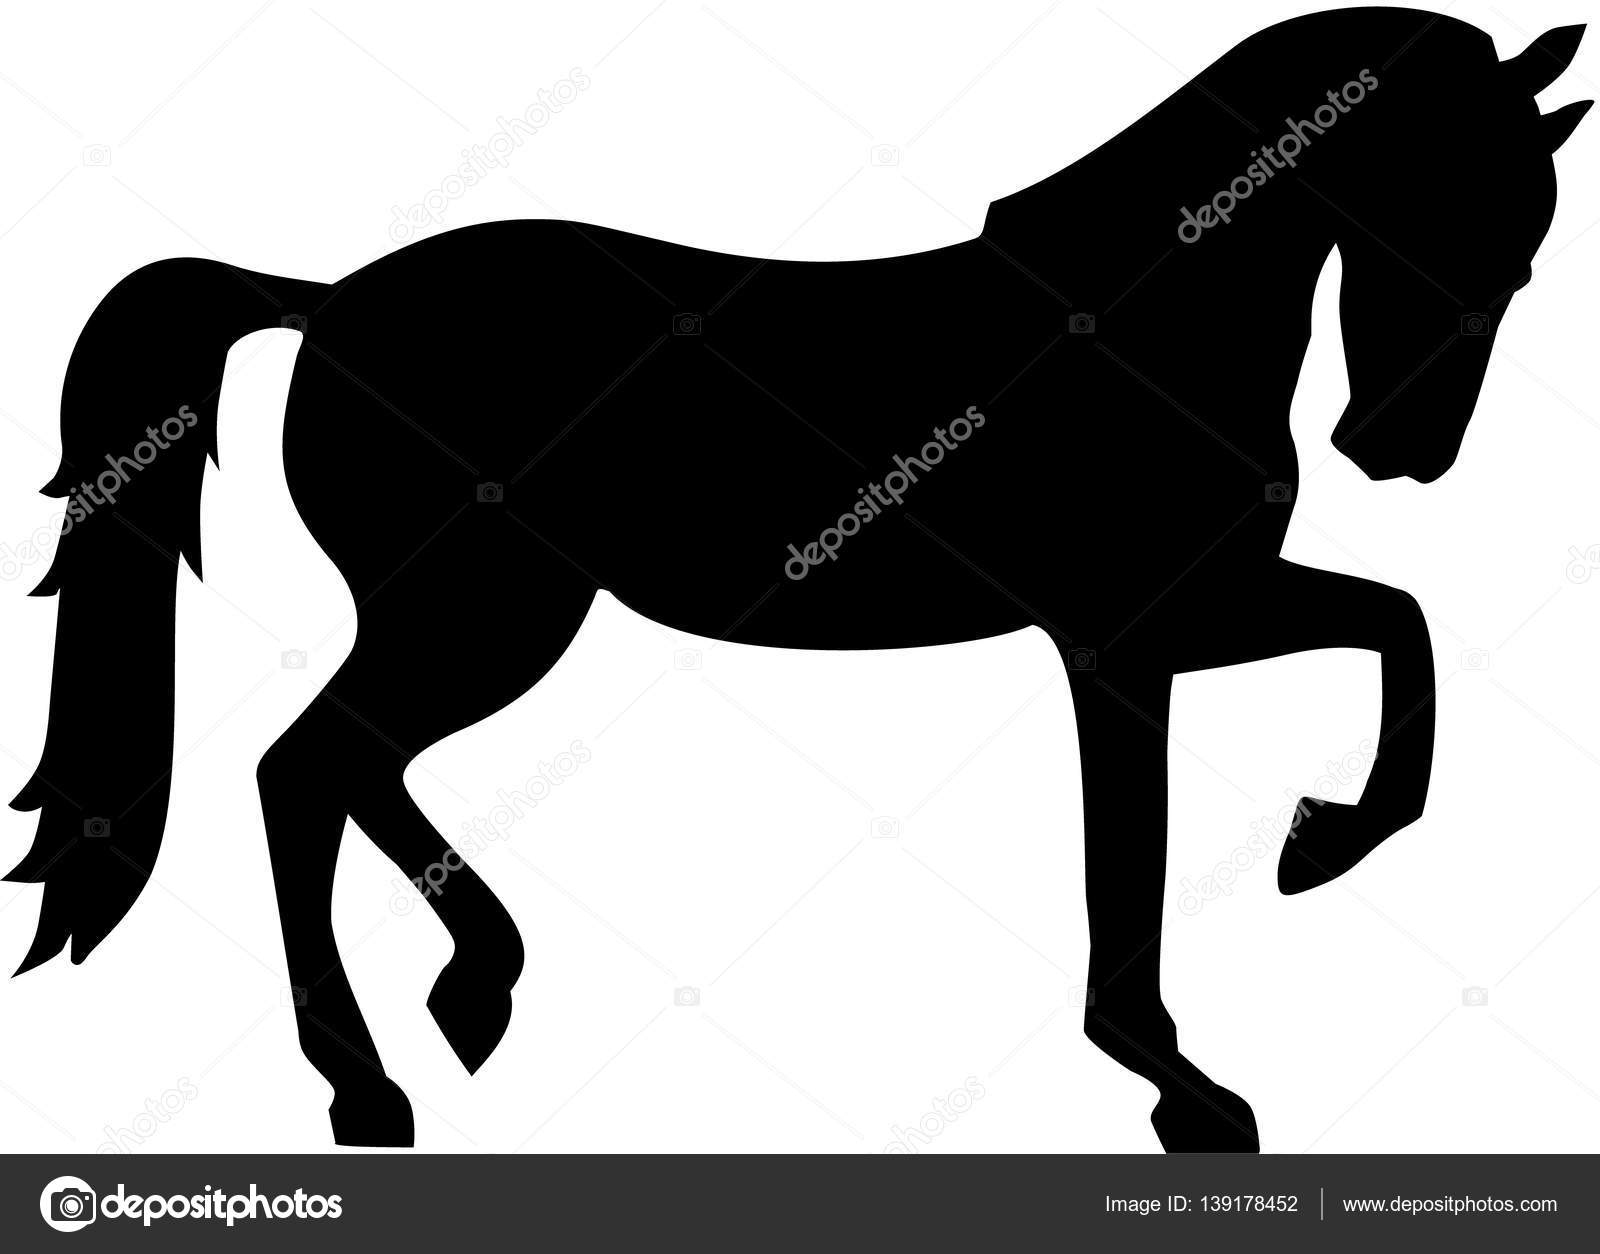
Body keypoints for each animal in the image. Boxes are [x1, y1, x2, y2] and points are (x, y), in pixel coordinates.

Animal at [8, 9, 1588, 1151]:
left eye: (1520, 264)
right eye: (1433, 214)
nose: (1400, 456)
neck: (1139, 321)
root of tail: (327, 302)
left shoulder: (1197, 608)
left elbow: (1398, 629)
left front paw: (1316, 843)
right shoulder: (1125, 635)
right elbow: (1134, 848)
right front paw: (1188, 1084)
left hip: (479, 617)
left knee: (343, 771)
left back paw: (474, 988)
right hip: (478, 615)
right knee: (303, 771)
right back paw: (372, 1085)